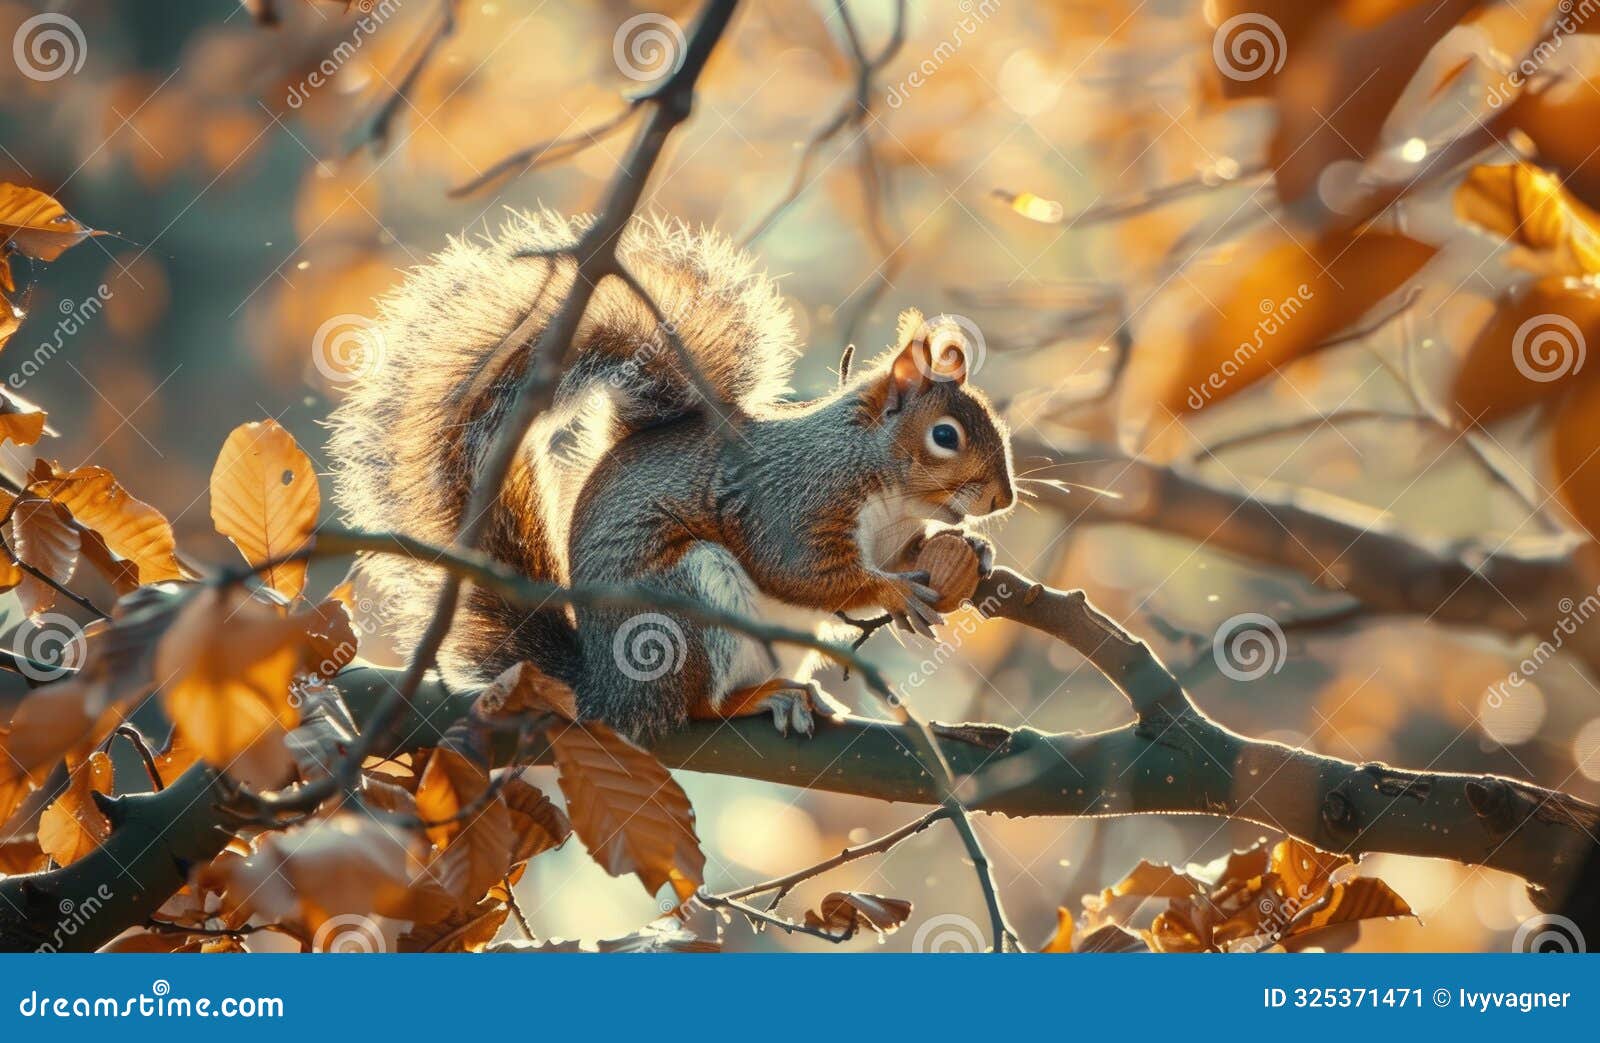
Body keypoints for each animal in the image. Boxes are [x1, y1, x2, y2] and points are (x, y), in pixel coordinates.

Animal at [328, 211, 1016, 742]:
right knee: (696, 707)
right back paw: (759, 699)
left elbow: (903, 557)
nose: (1002, 496)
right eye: (945, 436)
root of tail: (603, 693)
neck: (887, 493)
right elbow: (803, 571)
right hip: (680, 613)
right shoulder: (790, 499)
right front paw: (894, 592)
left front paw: (968, 552)